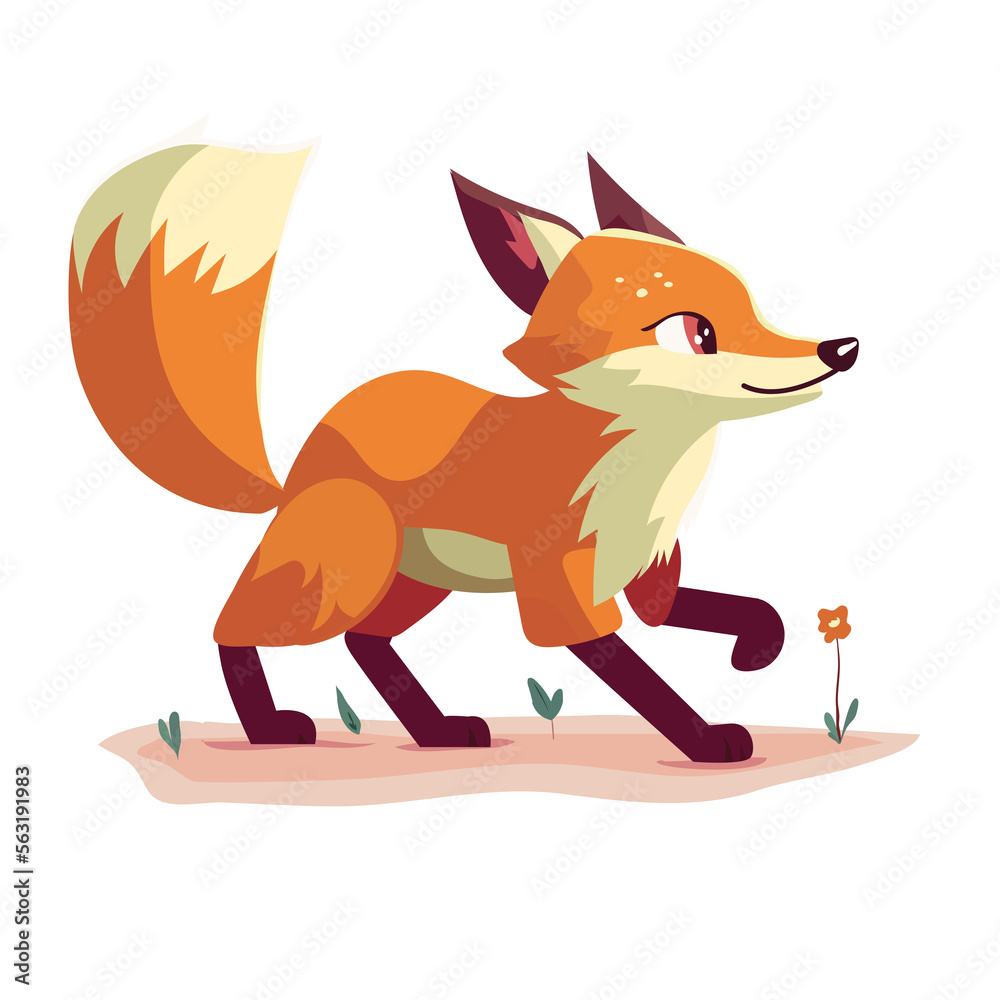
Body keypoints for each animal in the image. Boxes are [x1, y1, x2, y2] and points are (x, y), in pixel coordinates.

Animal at [69, 142, 858, 763]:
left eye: (754, 306)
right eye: (695, 333)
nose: (840, 349)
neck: (639, 470)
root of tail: (303, 456)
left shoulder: (644, 567)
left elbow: (732, 612)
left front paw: (755, 651)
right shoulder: (557, 579)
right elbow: (640, 678)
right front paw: (704, 741)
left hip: (417, 580)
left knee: (366, 642)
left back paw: (437, 730)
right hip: (346, 564)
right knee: (238, 625)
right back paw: (267, 728)